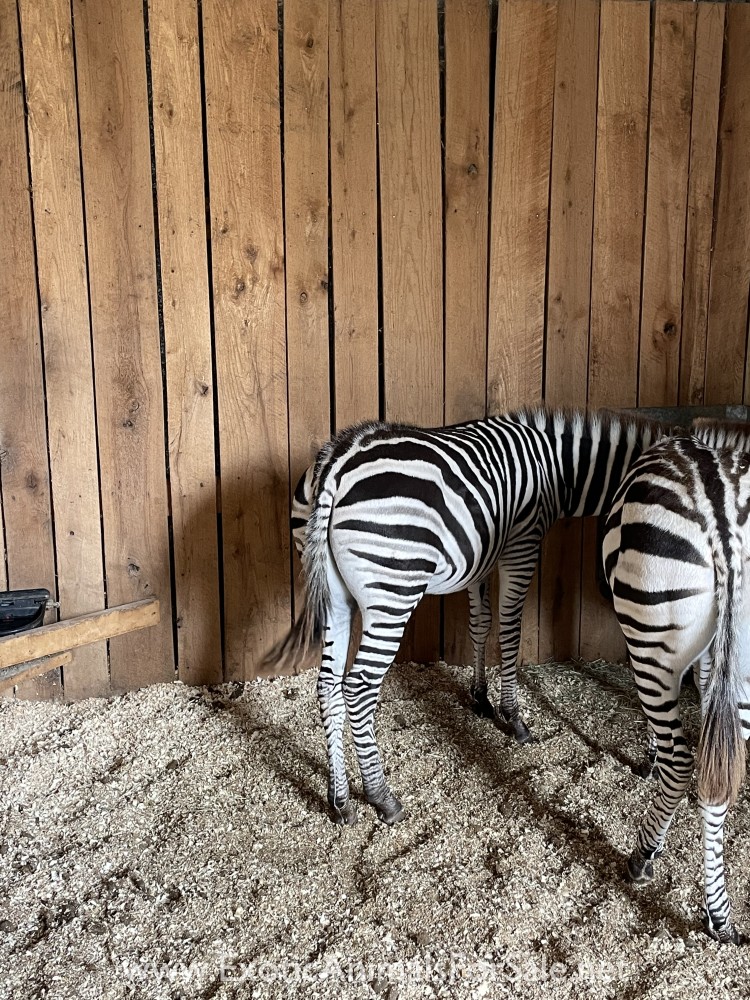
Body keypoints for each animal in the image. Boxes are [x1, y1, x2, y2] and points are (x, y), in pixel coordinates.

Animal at [267, 407, 666, 826]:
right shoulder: (521, 545)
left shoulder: (481, 556)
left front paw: (480, 698)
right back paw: (381, 796)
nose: (613, 590)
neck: (556, 465)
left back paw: (340, 799)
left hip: (334, 592)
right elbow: (509, 630)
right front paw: (513, 717)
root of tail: (337, 461)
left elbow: (480, 624)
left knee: (328, 685)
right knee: (358, 687)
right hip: (392, 588)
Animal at [603, 420, 750, 944]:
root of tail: (725, 524)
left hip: (652, 641)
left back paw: (643, 854)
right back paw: (719, 914)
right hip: (744, 658)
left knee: (682, 760)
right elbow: (709, 702)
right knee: (721, 779)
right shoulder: (716, 650)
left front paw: (648, 757)